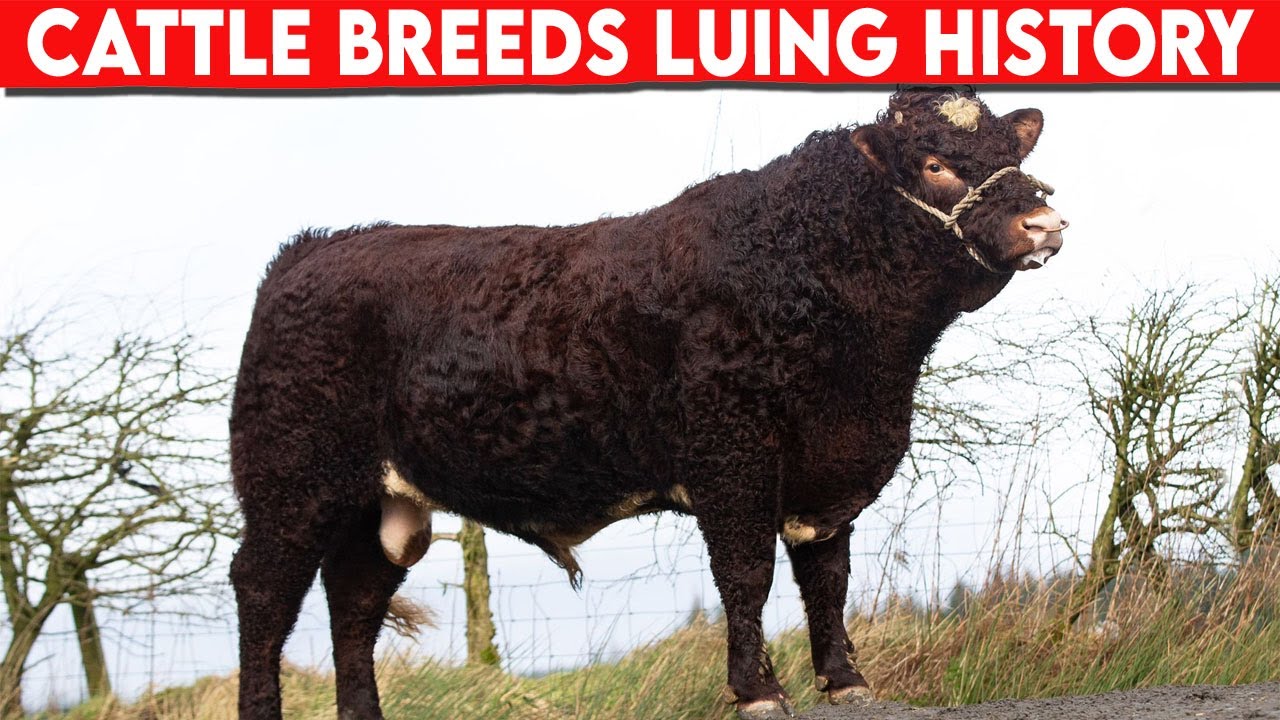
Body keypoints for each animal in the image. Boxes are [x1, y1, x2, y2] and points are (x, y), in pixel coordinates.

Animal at [229, 87, 1067, 720]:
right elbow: (747, 572)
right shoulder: (732, 450)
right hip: (292, 482)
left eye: (1014, 156)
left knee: (354, 603)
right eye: (934, 164)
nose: (1044, 222)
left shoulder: (832, 465)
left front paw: (847, 680)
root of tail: (312, 249)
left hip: (377, 508)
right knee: (264, 592)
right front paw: (758, 690)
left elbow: (827, 576)